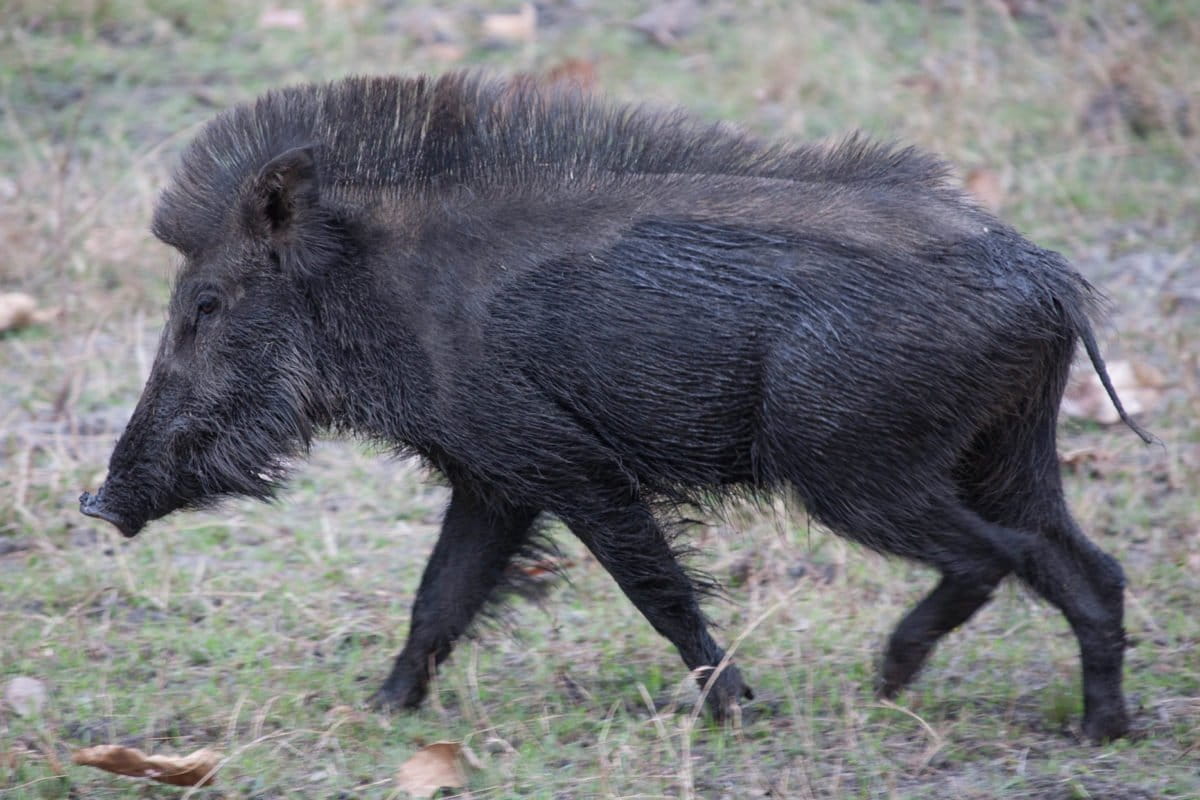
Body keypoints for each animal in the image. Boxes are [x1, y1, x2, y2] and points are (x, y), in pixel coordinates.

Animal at [79, 73, 1151, 742]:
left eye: (206, 304)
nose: (97, 502)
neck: (382, 292)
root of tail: (1049, 282)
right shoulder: (496, 480)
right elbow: (439, 599)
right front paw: (376, 714)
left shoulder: (569, 463)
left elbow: (657, 591)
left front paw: (737, 709)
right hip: (1005, 452)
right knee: (1088, 567)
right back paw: (1098, 732)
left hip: (856, 465)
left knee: (993, 557)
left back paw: (887, 680)